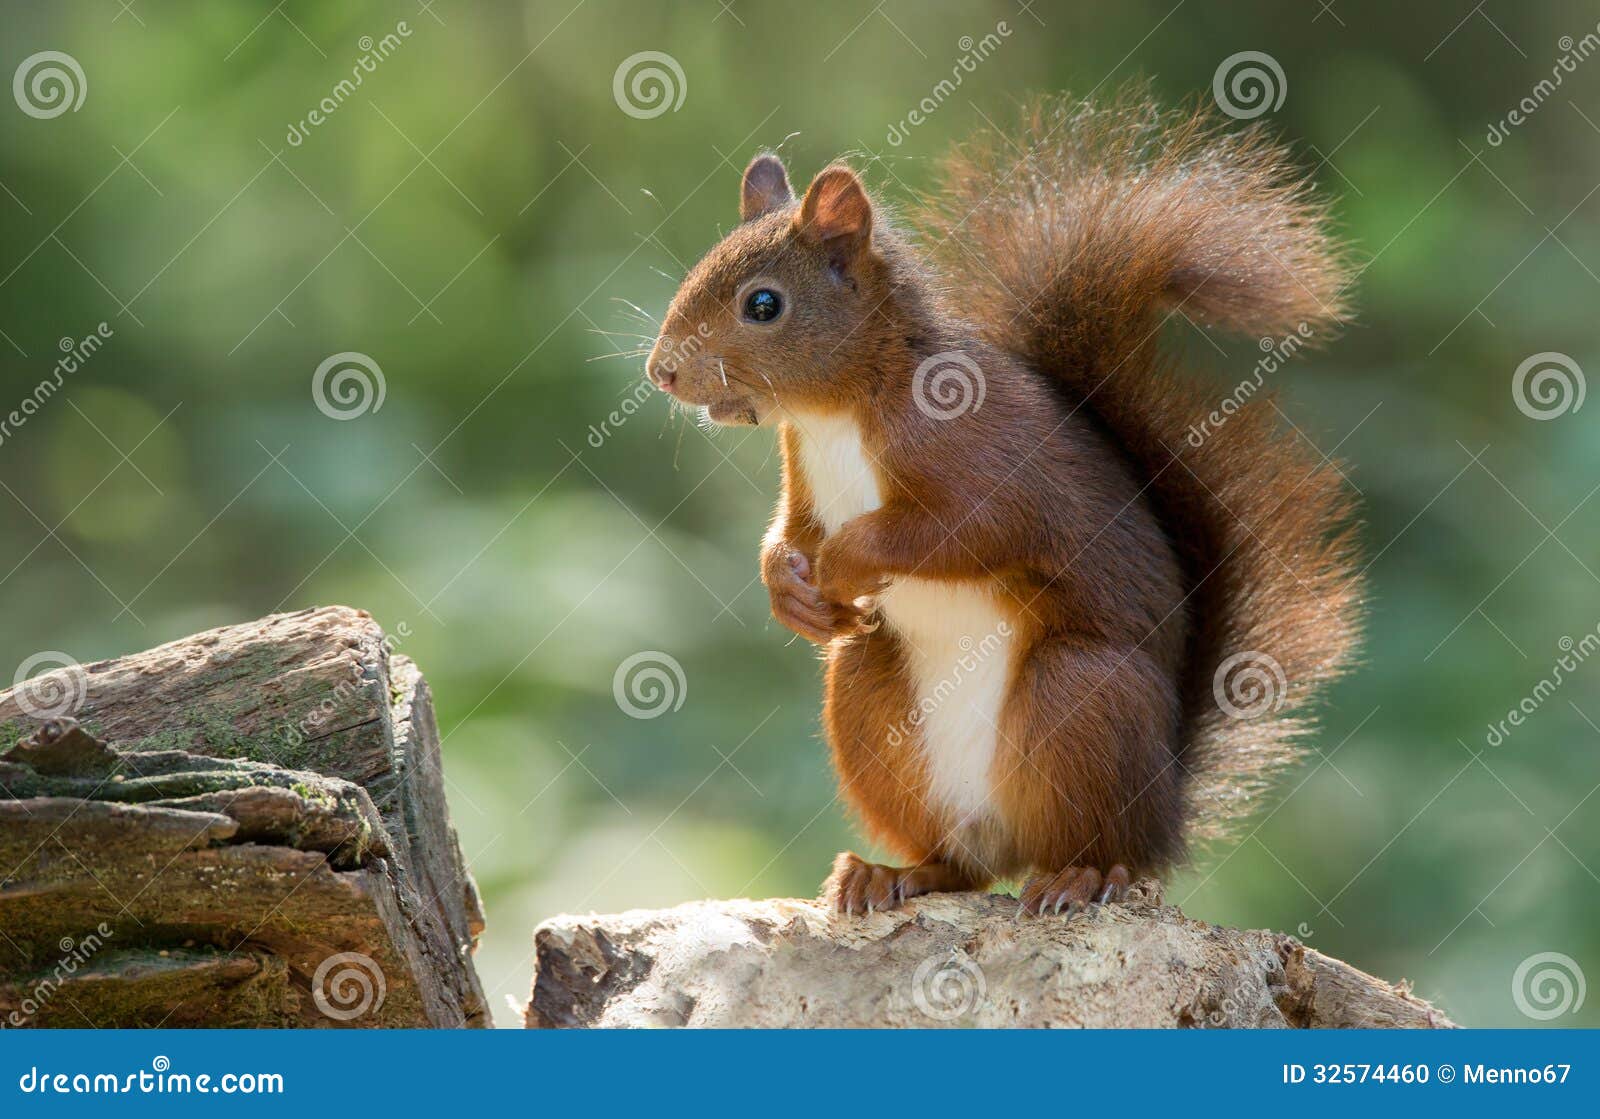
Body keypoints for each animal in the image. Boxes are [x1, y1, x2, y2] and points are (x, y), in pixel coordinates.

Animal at [645, 88, 1362, 916]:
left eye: (764, 304)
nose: (661, 371)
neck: (839, 412)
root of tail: (1165, 808)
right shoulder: (804, 473)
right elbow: (788, 531)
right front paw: (790, 590)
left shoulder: (988, 462)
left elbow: (963, 530)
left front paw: (841, 562)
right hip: (872, 700)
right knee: (962, 863)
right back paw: (893, 872)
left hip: (1079, 697)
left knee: (1102, 847)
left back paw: (1084, 875)